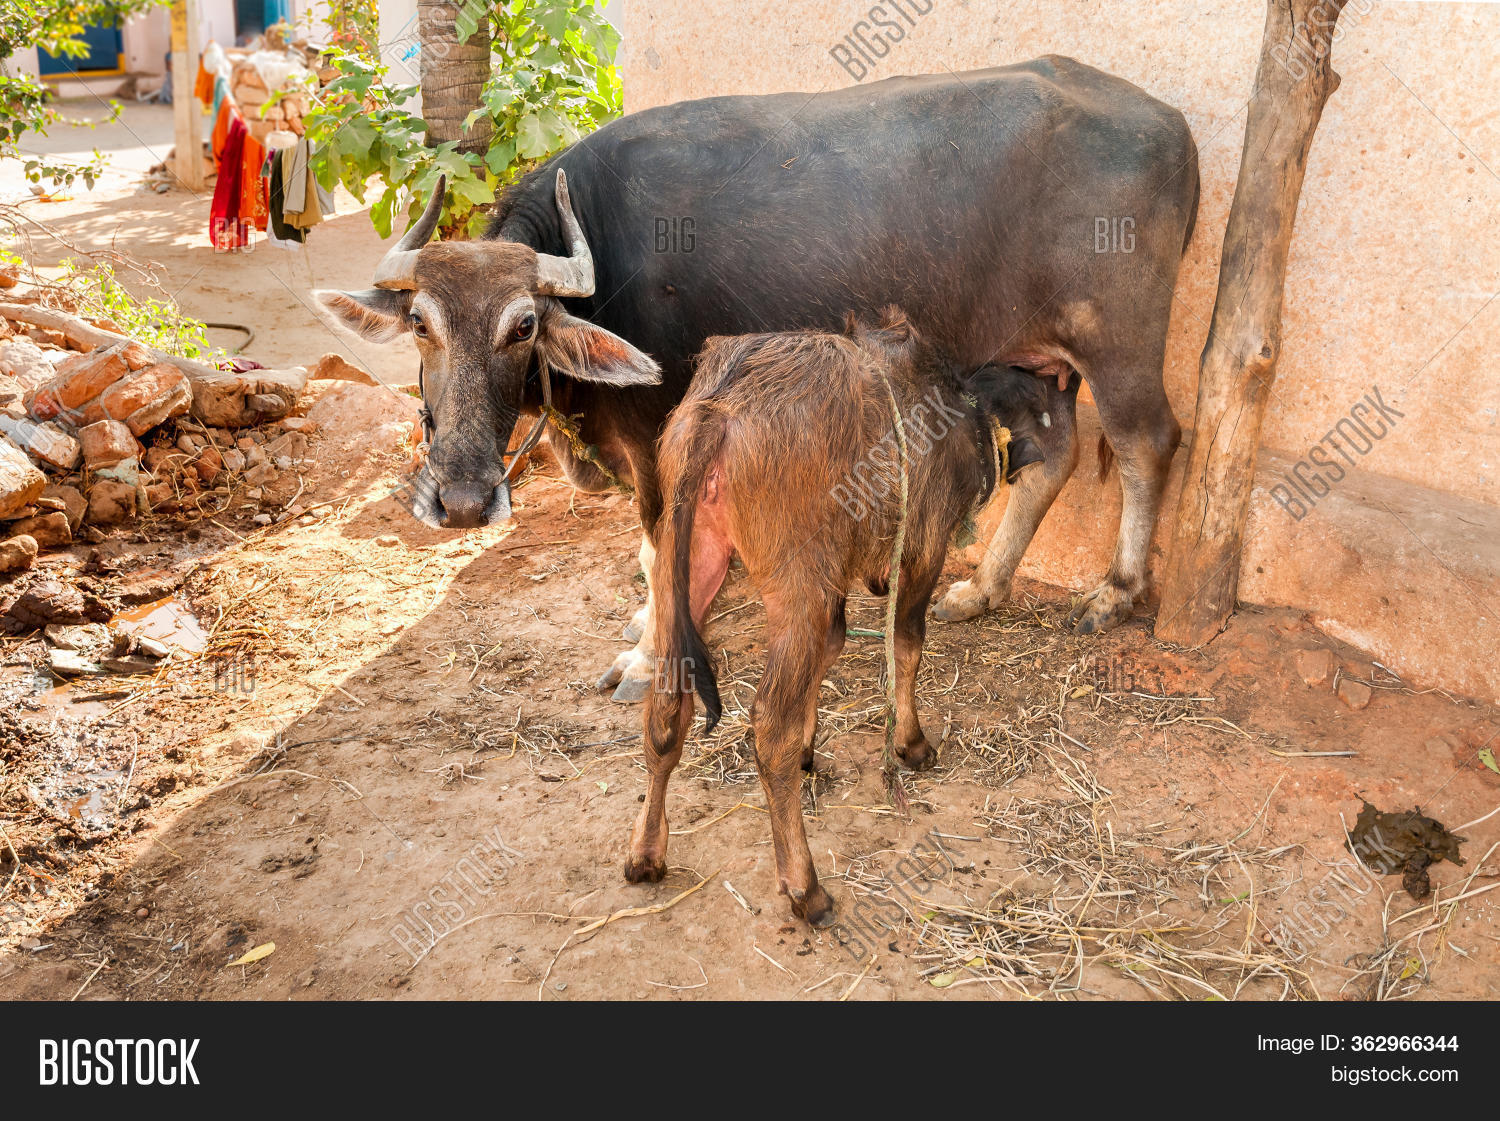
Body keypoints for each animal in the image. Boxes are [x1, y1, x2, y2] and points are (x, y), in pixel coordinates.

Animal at [316, 56, 1199, 699]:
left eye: (523, 325)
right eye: (421, 323)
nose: (463, 497)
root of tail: (1174, 127)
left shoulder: (660, 425)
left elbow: (656, 543)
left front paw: (648, 655)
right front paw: (644, 625)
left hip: (1117, 342)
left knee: (1147, 443)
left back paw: (1115, 591)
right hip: (1031, 359)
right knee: (1054, 452)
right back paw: (981, 588)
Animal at [628, 309, 1049, 925]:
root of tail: (719, 407)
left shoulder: (838, 582)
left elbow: (832, 648)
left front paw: (812, 749)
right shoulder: (921, 552)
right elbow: (906, 644)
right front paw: (912, 744)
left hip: (691, 566)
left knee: (665, 713)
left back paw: (645, 851)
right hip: (794, 587)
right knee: (768, 726)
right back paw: (806, 887)